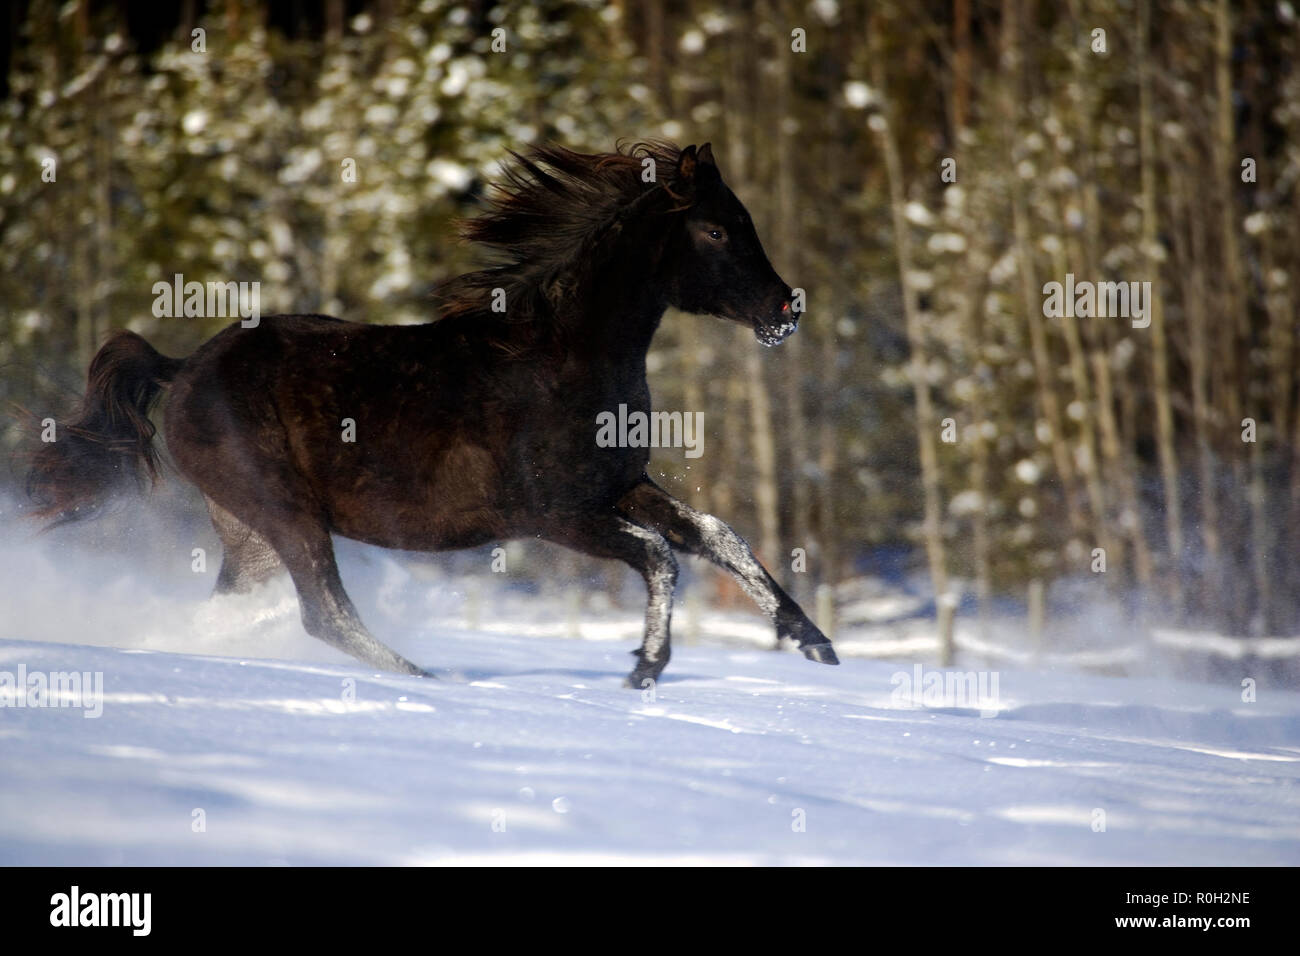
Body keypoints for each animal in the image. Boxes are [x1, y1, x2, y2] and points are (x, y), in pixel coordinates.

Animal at [26, 141, 839, 687]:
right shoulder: (553, 514)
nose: (786, 310)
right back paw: (428, 679)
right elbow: (663, 556)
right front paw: (645, 666)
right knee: (326, 610)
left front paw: (811, 639)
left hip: (246, 527)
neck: (559, 357)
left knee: (245, 606)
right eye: (716, 229)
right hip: (284, 509)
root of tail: (183, 369)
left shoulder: (617, 487)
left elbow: (715, 534)